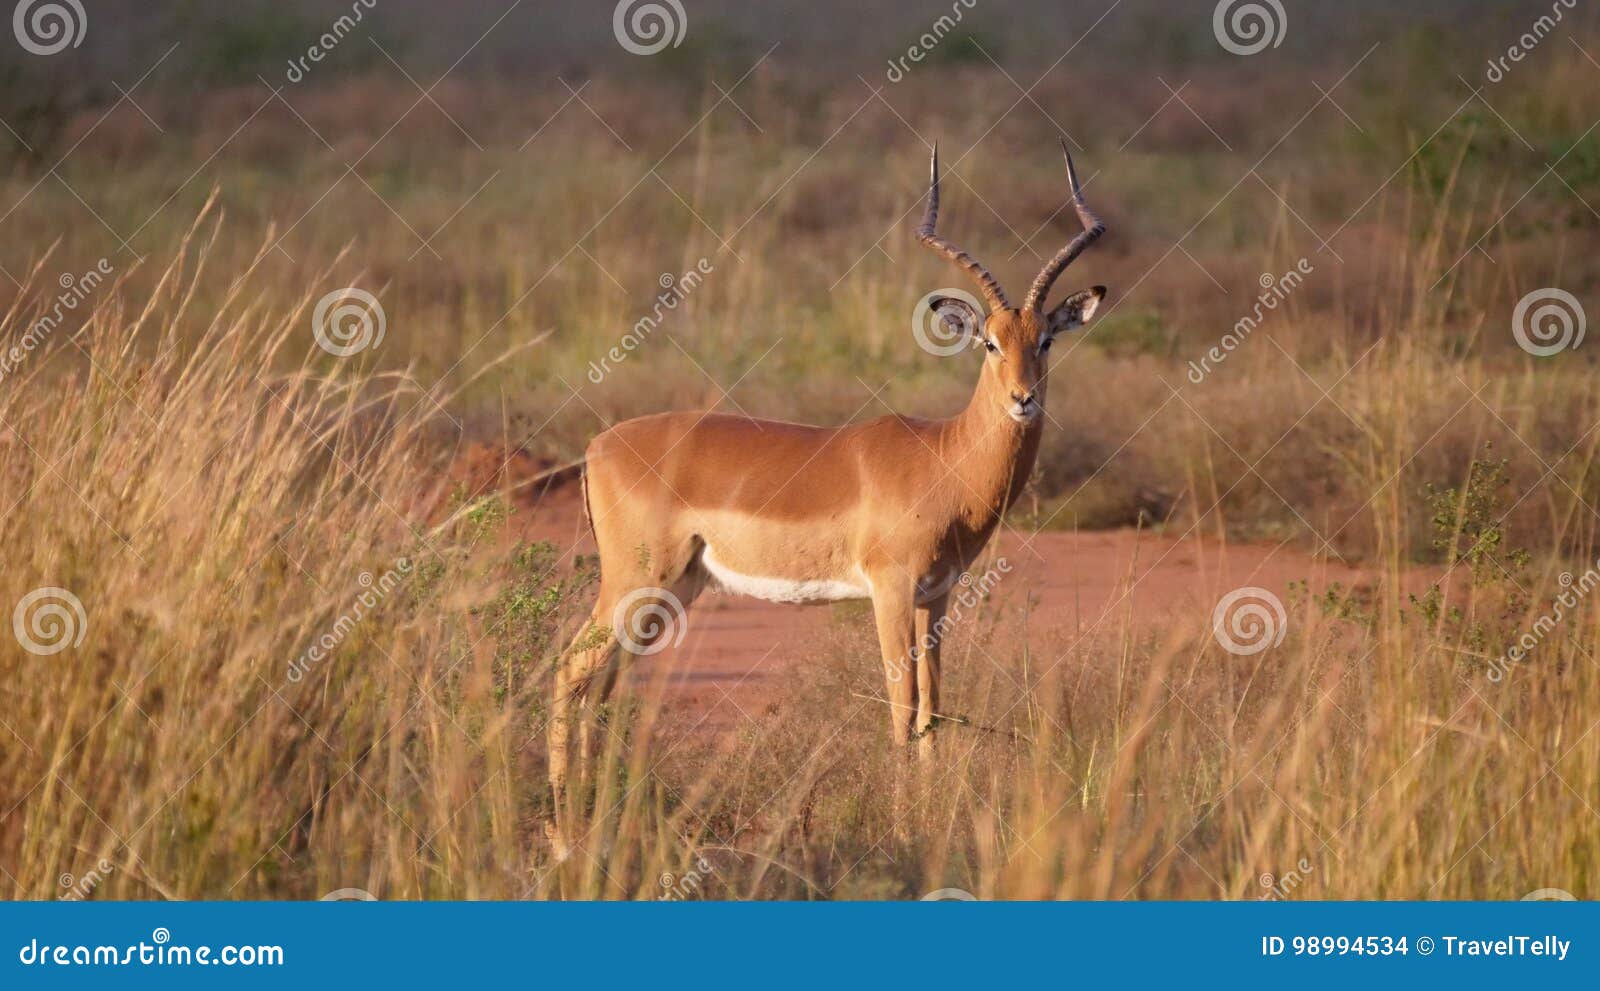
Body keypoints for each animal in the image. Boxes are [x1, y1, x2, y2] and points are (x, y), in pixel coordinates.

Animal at [548, 142, 1107, 841]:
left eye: (1046, 339)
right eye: (989, 342)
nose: (1023, 399)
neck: (943, 457)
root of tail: (597, 446)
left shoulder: (937, 596)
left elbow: (935, 705)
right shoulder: (890, 589)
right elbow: (903, 704)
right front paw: (904, 827)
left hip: (668, 592)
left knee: (598, 685)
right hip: (635, 582)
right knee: (570, 672)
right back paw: (563, 832)